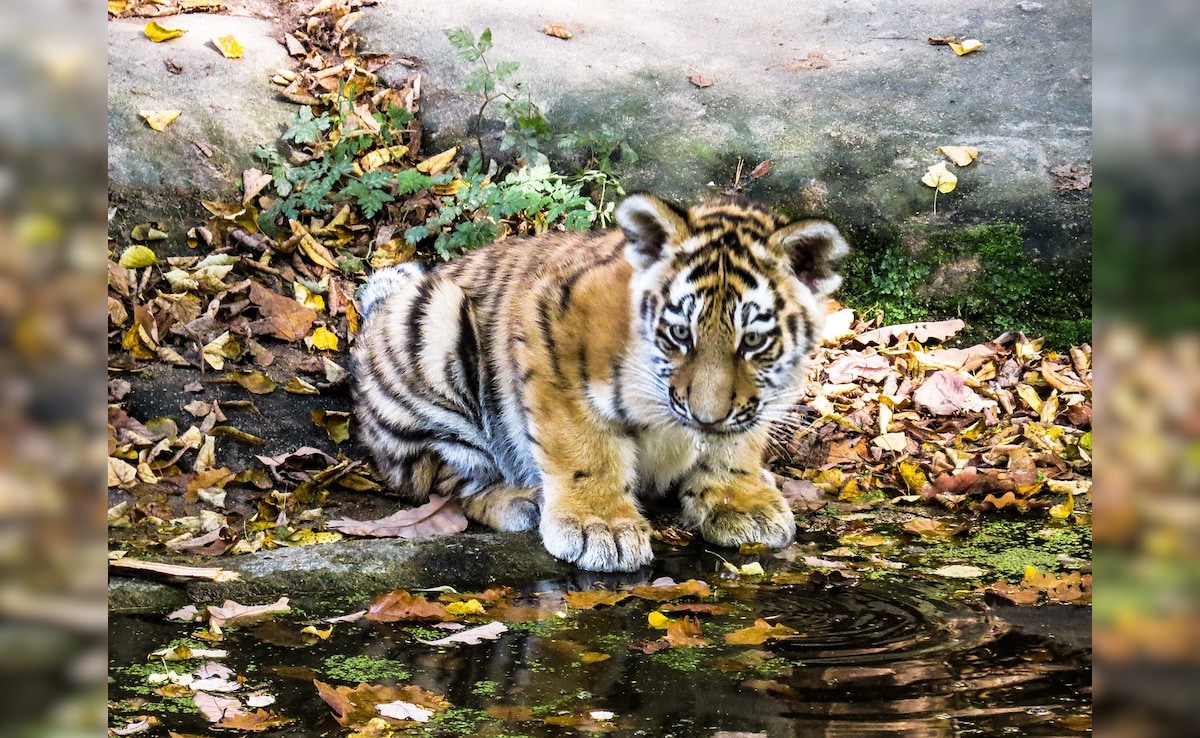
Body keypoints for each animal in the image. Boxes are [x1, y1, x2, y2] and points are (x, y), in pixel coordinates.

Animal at [352, 193, 849, 572]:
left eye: (753, 341)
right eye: (680, 334)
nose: (706, 418)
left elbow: (735, 443)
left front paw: (741, 502)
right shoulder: (549, 334)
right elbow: (583, 447)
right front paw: (601, 528)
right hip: (433, 322)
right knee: (444, 479)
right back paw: (523, 500)